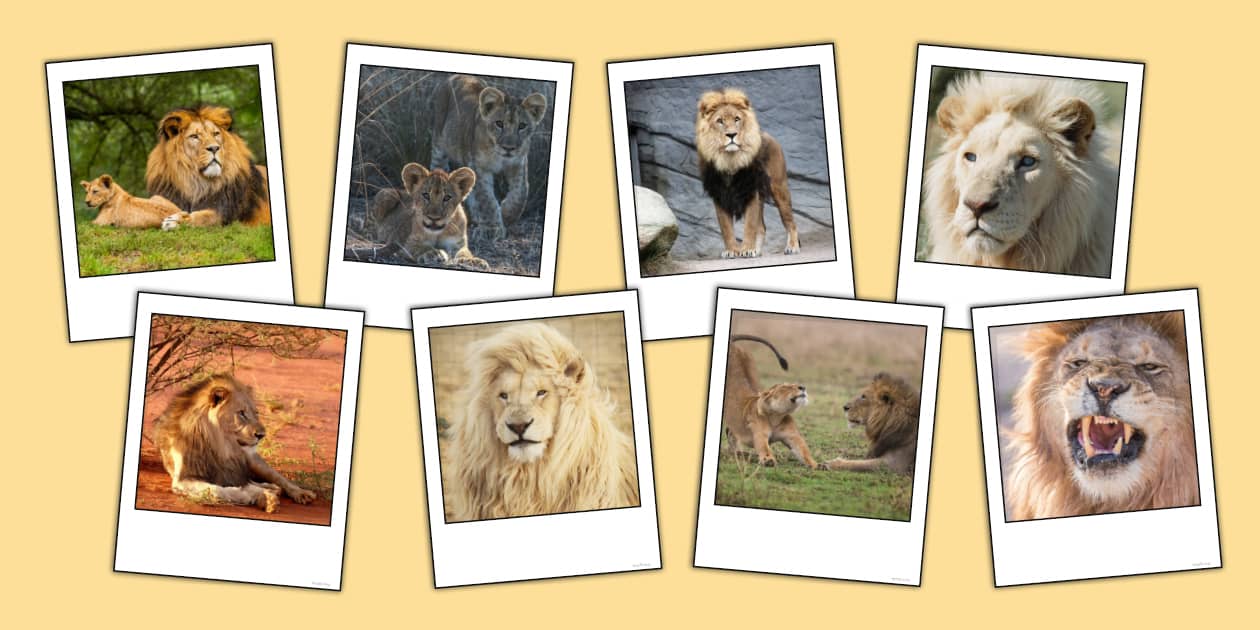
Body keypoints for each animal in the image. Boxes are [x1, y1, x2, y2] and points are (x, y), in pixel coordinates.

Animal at [81, 174, 216, 230]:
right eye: (86, 191)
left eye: (95, 191)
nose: (86, 202)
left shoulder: (101, 223)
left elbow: (87, 224)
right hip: (156, 196)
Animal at [152, 374, 315, 513]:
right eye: (241, 413)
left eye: (256, 413)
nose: (262, 435)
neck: (219, 444)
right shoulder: (183, 479)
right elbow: (218, 489)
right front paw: (256, 495)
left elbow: (234, 484)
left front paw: (261, 494)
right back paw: (269, 489)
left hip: (254, 461)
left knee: (278, 478)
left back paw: (301, 493)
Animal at [430, 74, 548, 241]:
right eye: (499, 123)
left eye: (522, 126)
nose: (509, 148)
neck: (499, 156)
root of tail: (454, 76)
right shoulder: (479, 167)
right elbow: (487, 199)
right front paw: (493, 227)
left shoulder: (518, 164)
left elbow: (520, 193)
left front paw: (505, 213)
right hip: (439, 143)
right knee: (438, 169)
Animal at [696, 88, 800, 259]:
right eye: (720, 121)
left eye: (737, 119)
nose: (731, 135)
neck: (730, 160)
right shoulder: (720, 195)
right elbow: (726, 228)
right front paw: (732, 250)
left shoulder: (750, 190)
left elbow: (749, 225)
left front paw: (746, 249)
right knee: (762, 227)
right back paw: (757, 251)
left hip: (779, 188)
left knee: (790, 221)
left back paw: (792, 247)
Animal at [721, 335, 817, 468]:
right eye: (786, 387)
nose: (803, 387)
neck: (776, 417)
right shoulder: (760, 434)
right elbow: (764, 448)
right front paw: (768, 460)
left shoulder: (793, 437)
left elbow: (804, 451)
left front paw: (817, 464)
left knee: (730, 433)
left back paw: (737, 453)